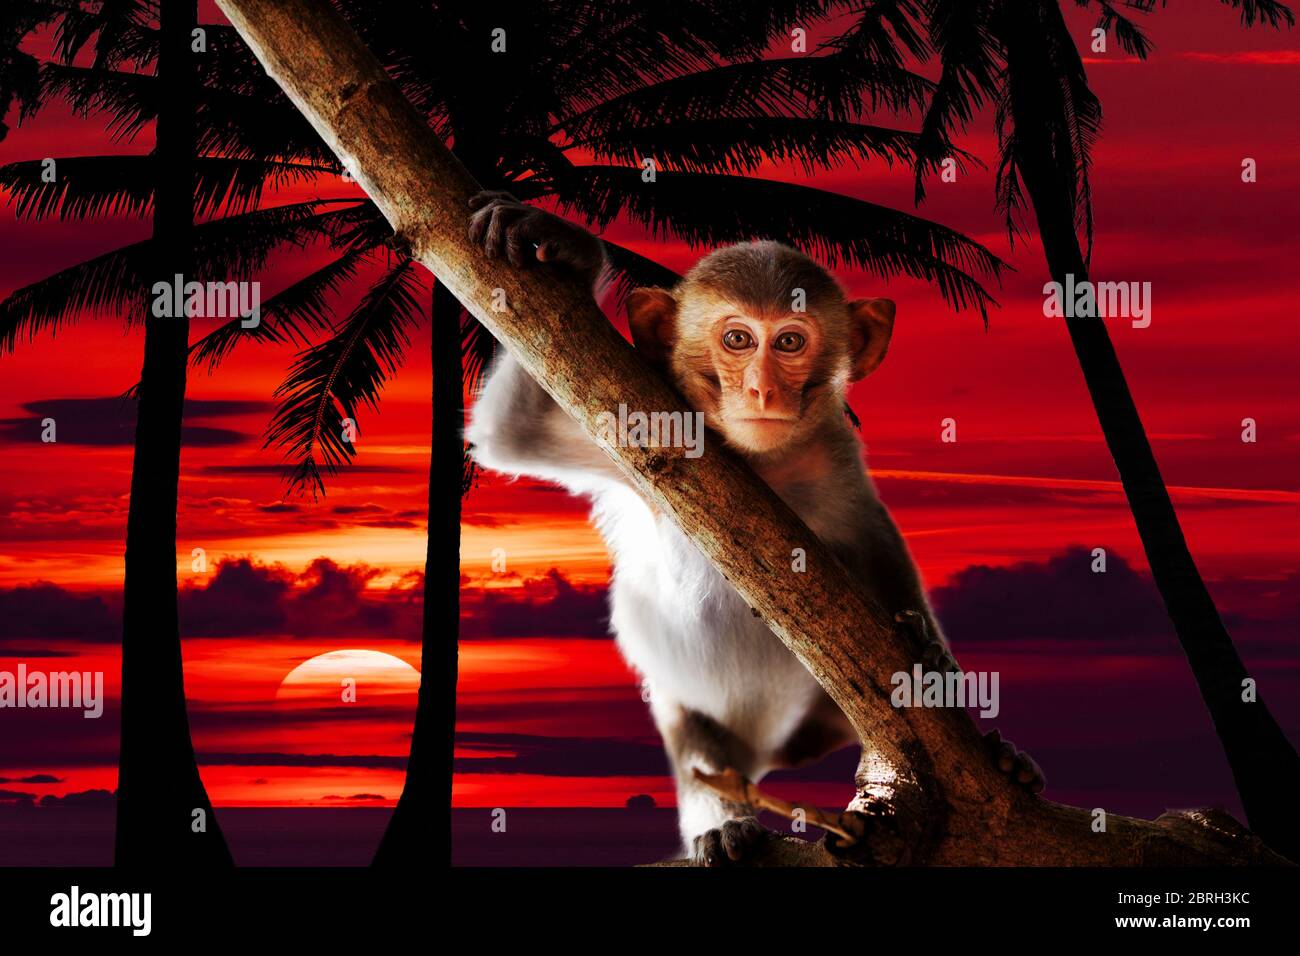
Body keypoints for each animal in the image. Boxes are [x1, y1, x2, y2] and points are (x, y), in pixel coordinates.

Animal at [464, 191, 1044, 866]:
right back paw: (725, 826)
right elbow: (513, 429)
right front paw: (568, 249)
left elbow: (875, 541)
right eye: (738, 339)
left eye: (789, 341)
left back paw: (1003, 757)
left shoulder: (836, 458)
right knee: (703, 753)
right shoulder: (635, 429)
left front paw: (928, 649)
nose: (762, 389)